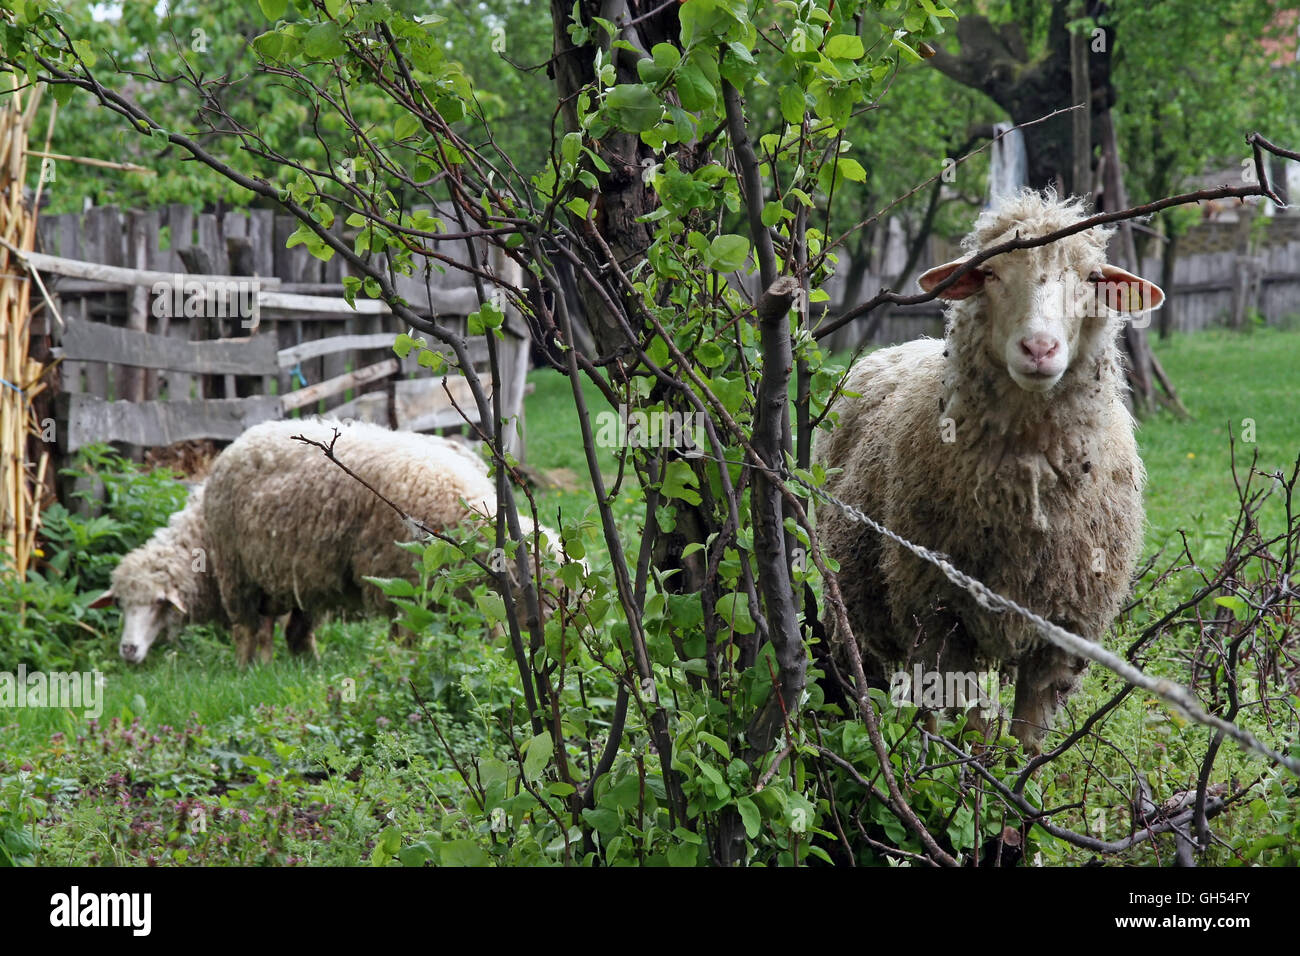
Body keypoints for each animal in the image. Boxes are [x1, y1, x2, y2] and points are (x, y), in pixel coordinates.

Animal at [814, 189, 1163, 752]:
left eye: (1091, 278)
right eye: (991, 273)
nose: (1039, 349)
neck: (1028, 494)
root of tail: (898, 347)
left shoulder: (1064, 629)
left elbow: (1028, 742)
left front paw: (1017, 775)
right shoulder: (944, 613)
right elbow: (972, 731)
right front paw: (968, 772)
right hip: (862, 600)